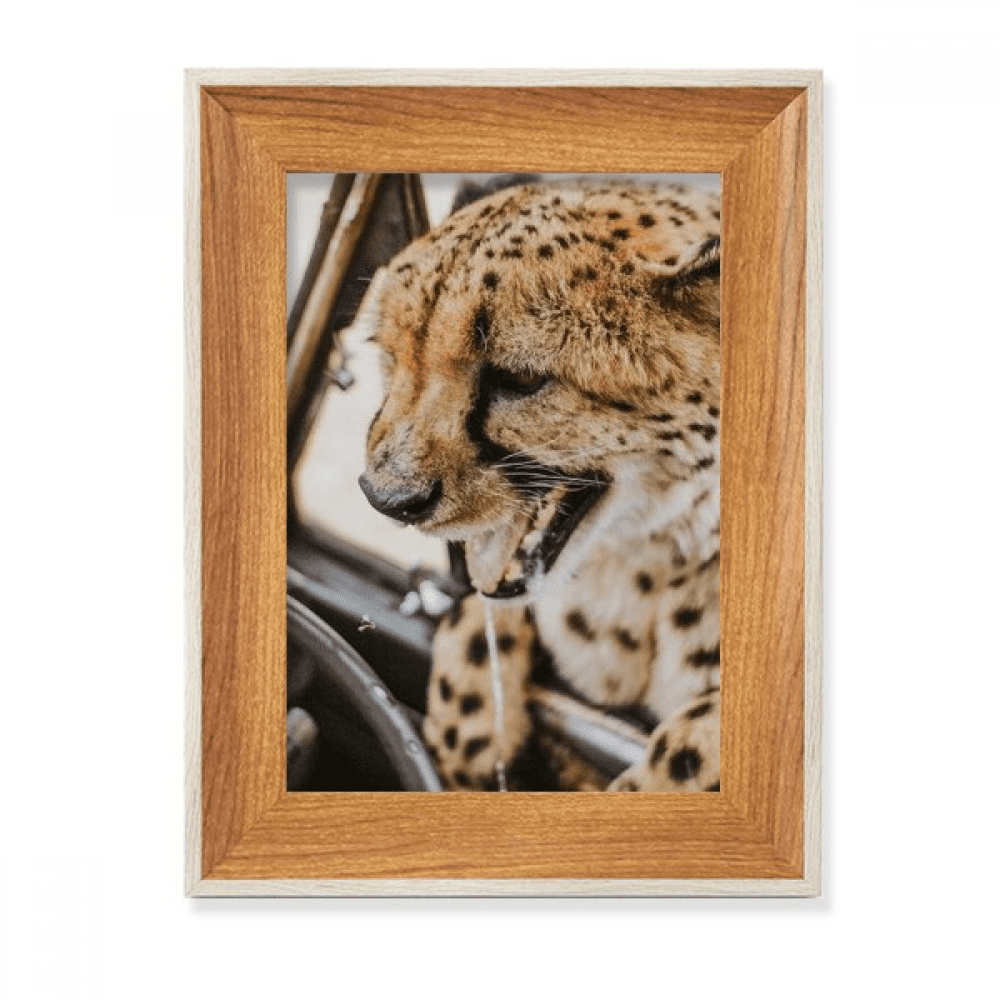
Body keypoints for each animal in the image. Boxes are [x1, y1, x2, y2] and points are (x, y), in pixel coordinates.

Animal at [359, 178, 721, 792]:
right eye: (392, 355)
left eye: (519, 379)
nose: (387, 497)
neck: (652, 556)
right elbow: (475, 607)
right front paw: (468, 735)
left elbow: (690, 742)